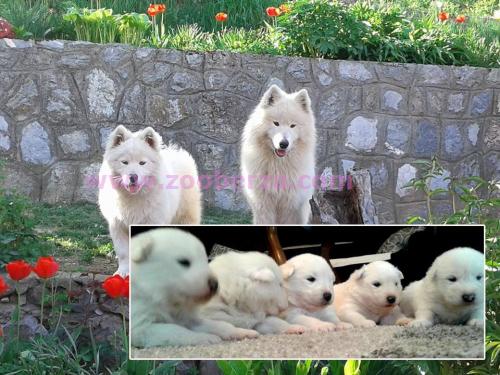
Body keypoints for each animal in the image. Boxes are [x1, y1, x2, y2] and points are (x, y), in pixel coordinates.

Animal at [130, 229, 258, 350]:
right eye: (184, 262)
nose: (215, 285)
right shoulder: (141, 326)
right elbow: (176, 330)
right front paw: (206, 337)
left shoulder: (188, 317)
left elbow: (219, 324)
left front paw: (241, 332)